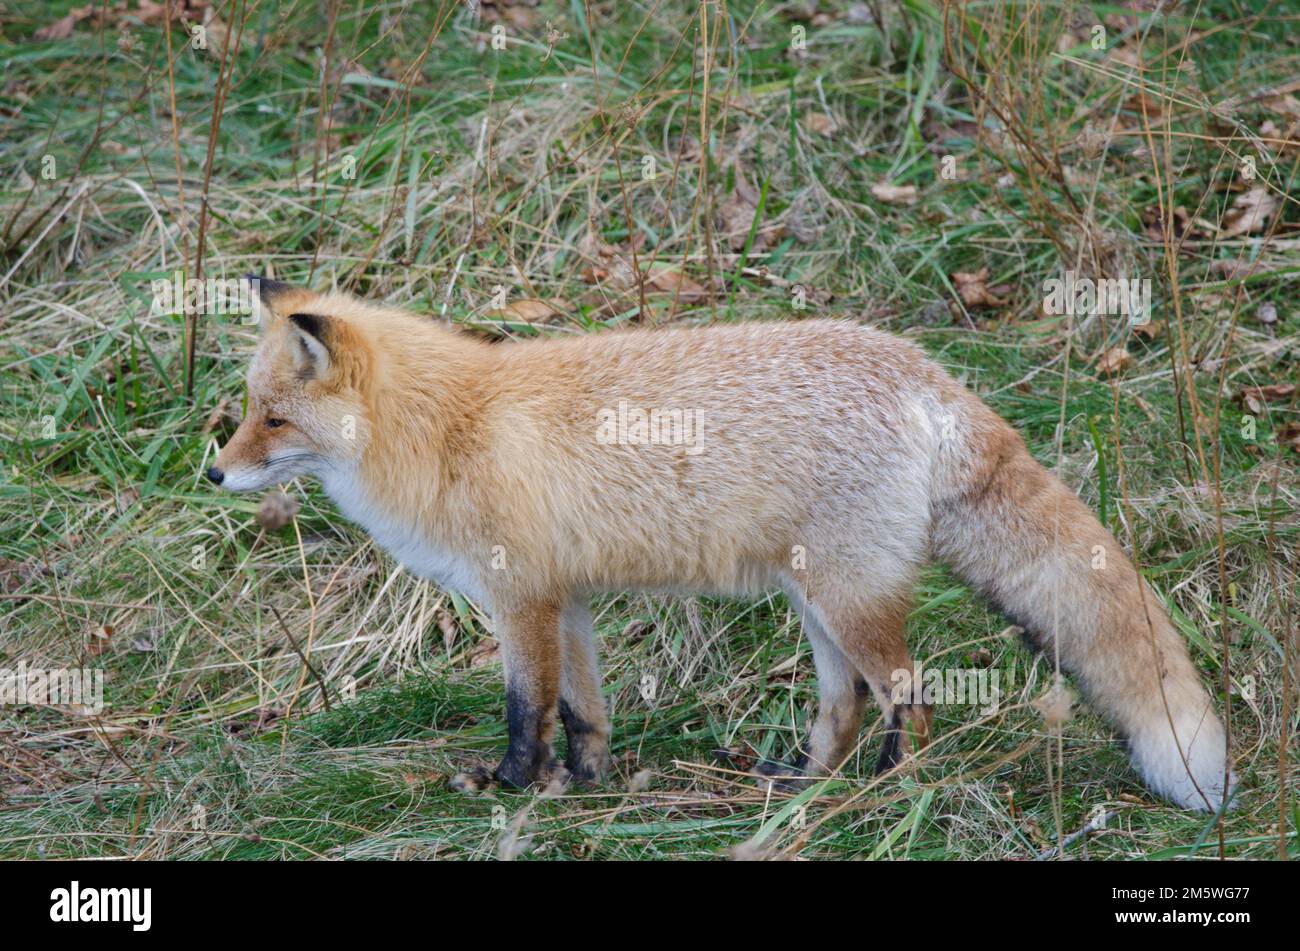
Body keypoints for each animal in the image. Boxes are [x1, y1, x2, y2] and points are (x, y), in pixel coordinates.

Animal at [209, 275, 1235, 811]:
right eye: (247, 412)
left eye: (272, 419)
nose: (213, 474)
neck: (448, 431)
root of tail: (922, 367)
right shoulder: (568, 600)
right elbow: (584, 710)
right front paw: (589, 783)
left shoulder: (521, 597)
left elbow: (524, 708)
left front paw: (510, 785)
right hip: (817, 599)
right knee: (845, 703)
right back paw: (806, 783)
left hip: (848, 599)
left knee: (910, 695)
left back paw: (885, 794)